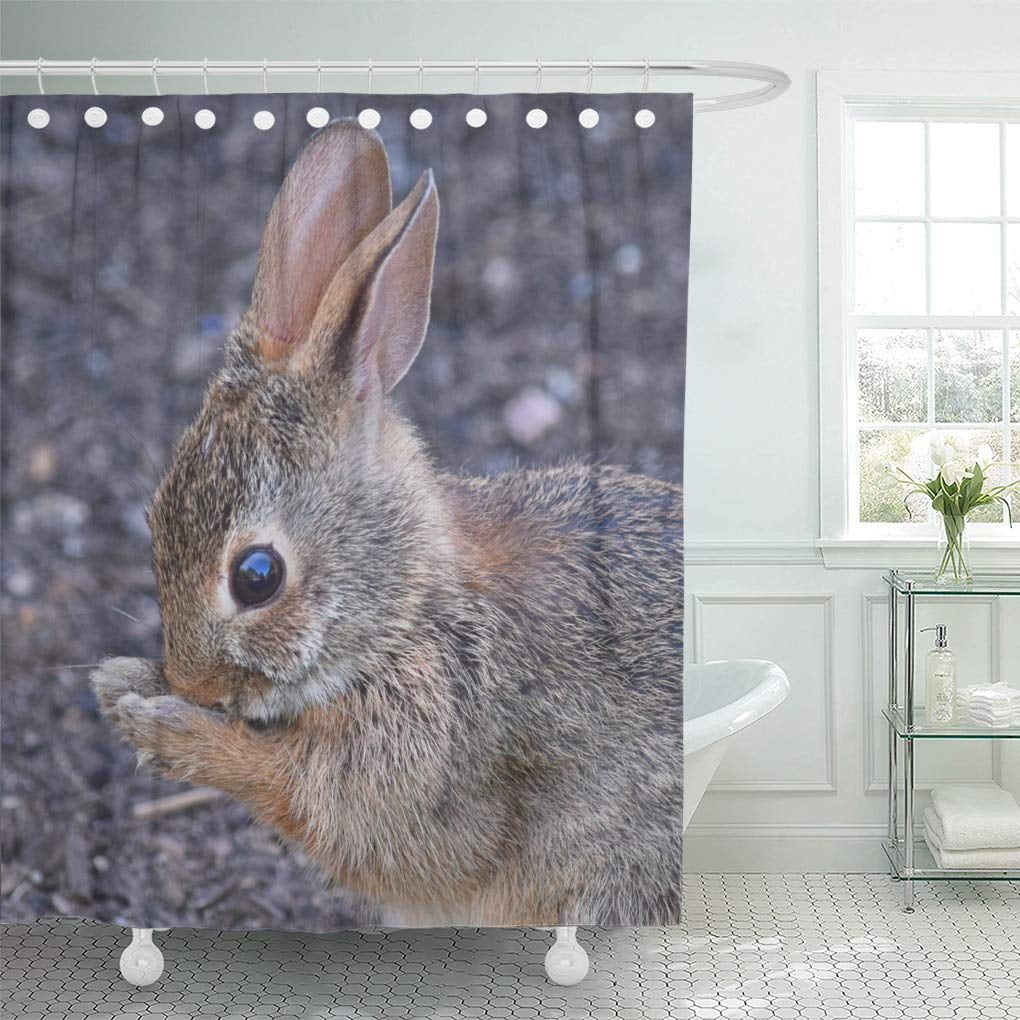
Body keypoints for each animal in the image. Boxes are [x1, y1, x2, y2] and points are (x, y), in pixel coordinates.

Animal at [91, 118, 684, 928]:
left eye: (256, 576)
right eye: (153, 518)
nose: (194, 683)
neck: (411, 611)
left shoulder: (428, 768)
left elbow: (300, 794)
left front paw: (163, 726)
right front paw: (123, 681)